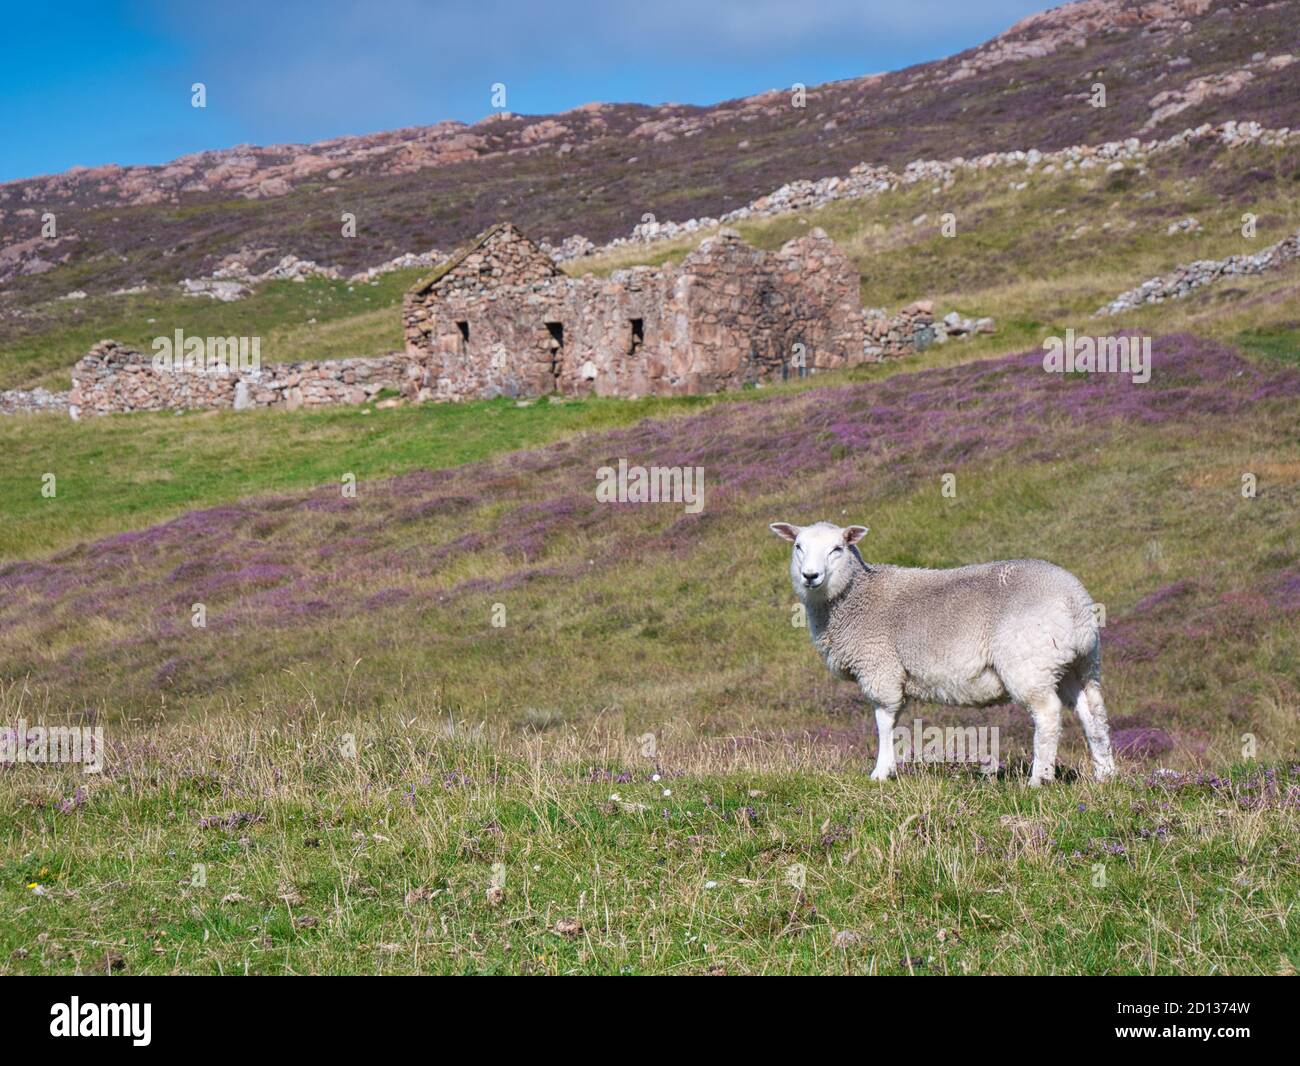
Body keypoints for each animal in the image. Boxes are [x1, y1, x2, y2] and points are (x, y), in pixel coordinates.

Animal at [769, 520, 1115, 785]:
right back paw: (1105, 775)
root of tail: (1076, 603)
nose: (810, 576)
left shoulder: (880, 668)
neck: (854, 597)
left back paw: (1038, 779)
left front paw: (881, 773)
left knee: (1048, 714)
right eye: (798, 546)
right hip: (1078, 663)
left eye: (837, 548)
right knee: (1092, 712)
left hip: (1029, 663)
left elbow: (884, 721)